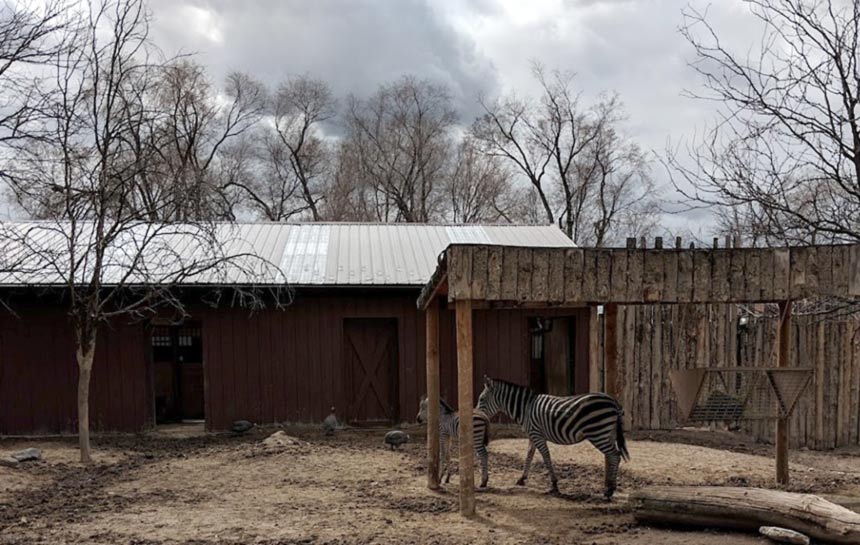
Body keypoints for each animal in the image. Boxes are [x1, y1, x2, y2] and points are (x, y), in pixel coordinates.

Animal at [476, 376, 629, 499]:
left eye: (481, 399)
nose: (477, 415)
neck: (526, 408)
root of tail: (613, 401)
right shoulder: (532, 434)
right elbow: (529, 455)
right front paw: (522, 478)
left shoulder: (537, 434)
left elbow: (546, 456)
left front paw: (554, 484)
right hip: (608, 434)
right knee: (612, 456)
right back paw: (609, 486)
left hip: (598, 433)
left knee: (615, 455)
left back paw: (610, 490)